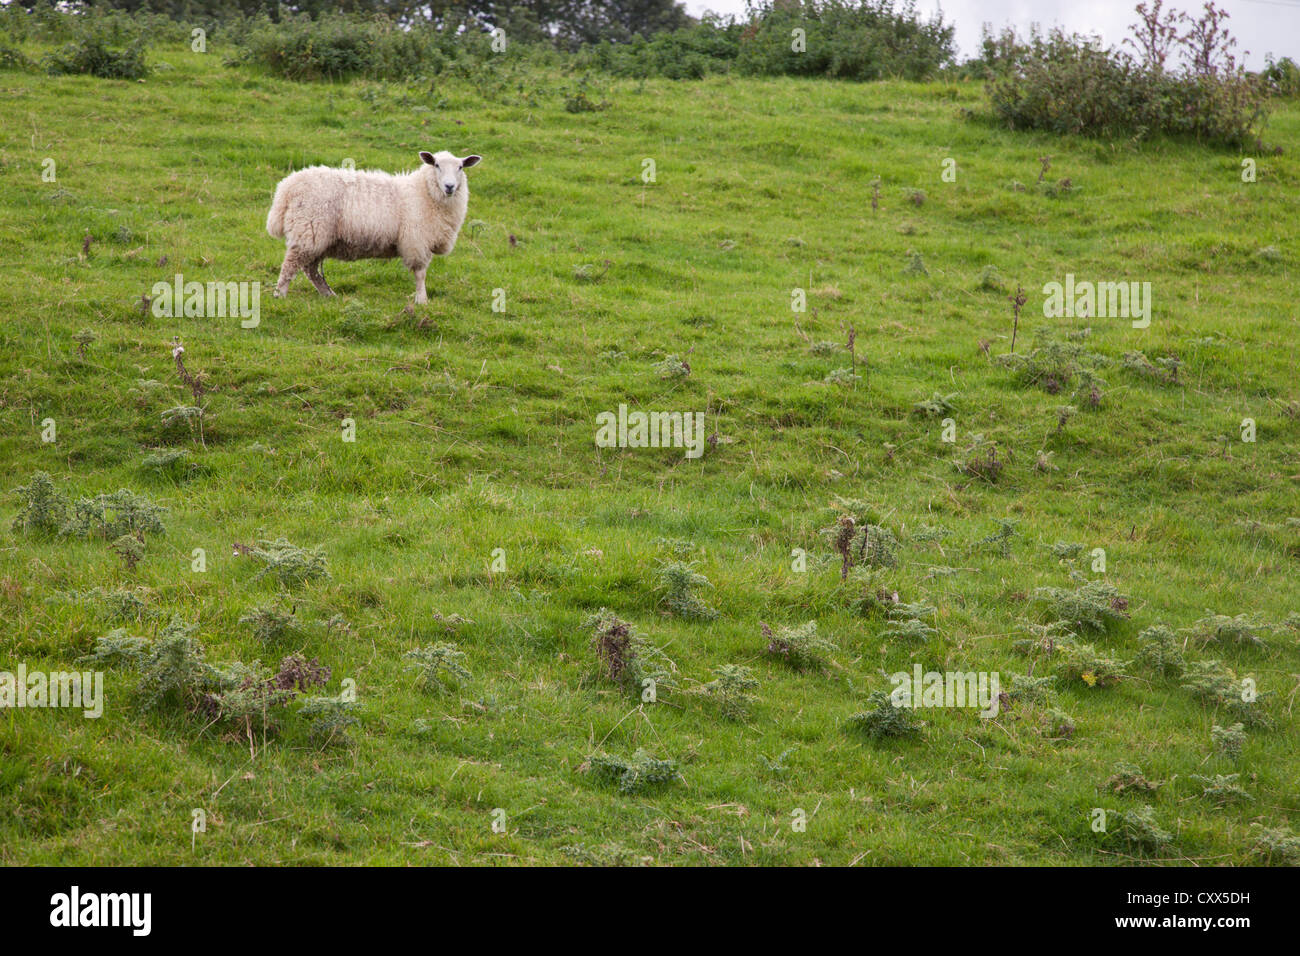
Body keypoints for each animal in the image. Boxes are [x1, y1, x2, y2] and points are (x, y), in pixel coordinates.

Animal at [266, 150, 482, 304]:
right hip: (308, 230)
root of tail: (286, 187)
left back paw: (329, 294)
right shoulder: (417, 241)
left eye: (461, 167)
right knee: (291, 265)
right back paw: (280, 294)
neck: (425, 192)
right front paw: (422, 300)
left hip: (316, 236)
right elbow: (420, 274)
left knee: (311, 270)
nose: (449, 186)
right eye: (436, 165)